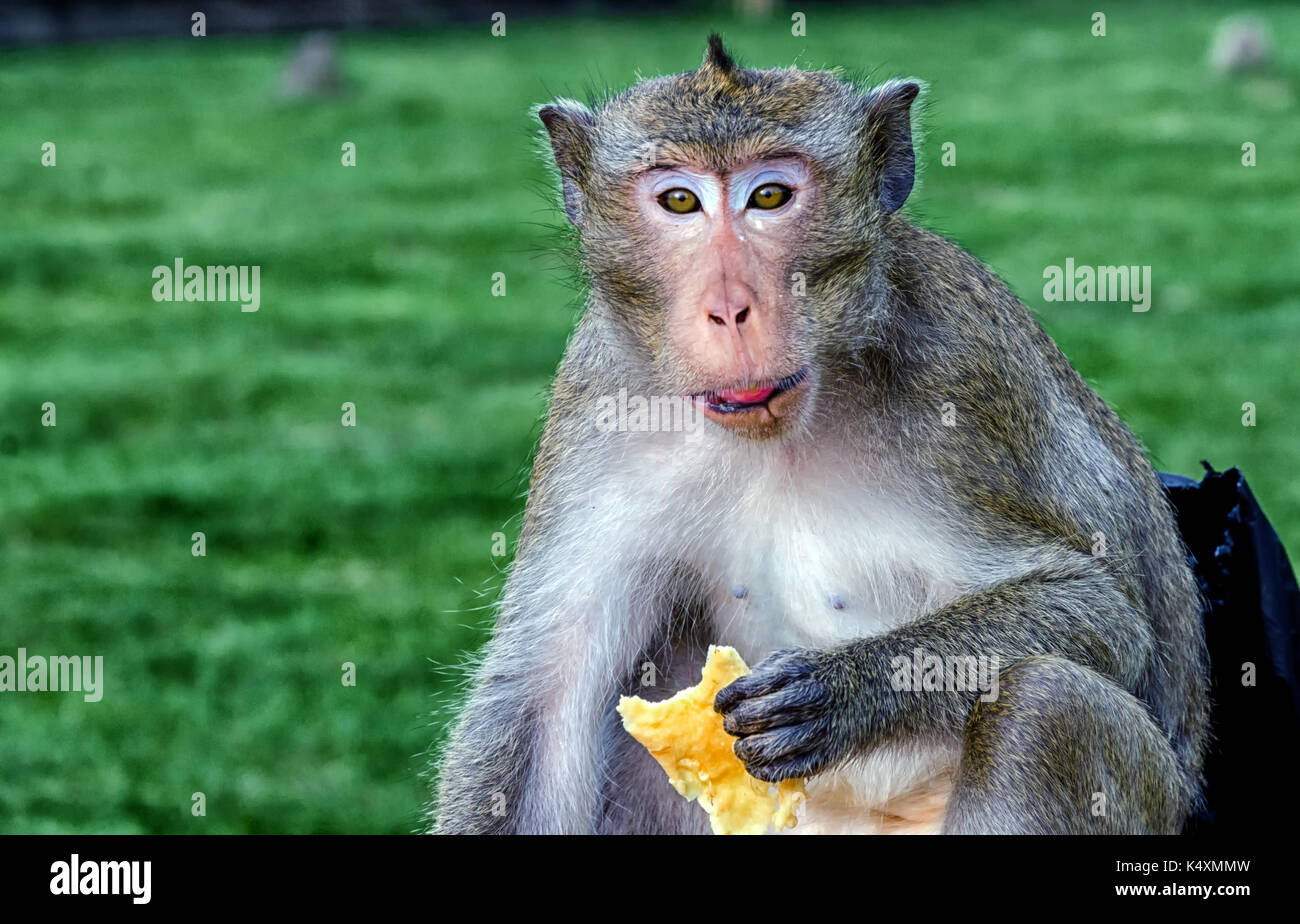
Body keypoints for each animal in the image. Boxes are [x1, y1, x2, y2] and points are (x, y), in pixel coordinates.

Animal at [432, 35, 1209, 835]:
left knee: (1046, 707)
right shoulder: (599, 397)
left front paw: (843, 691)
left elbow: (1101, 611)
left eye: (770, 197)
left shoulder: (970, 380)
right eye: (679, 201)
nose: (730, 308)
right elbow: (541, 701)